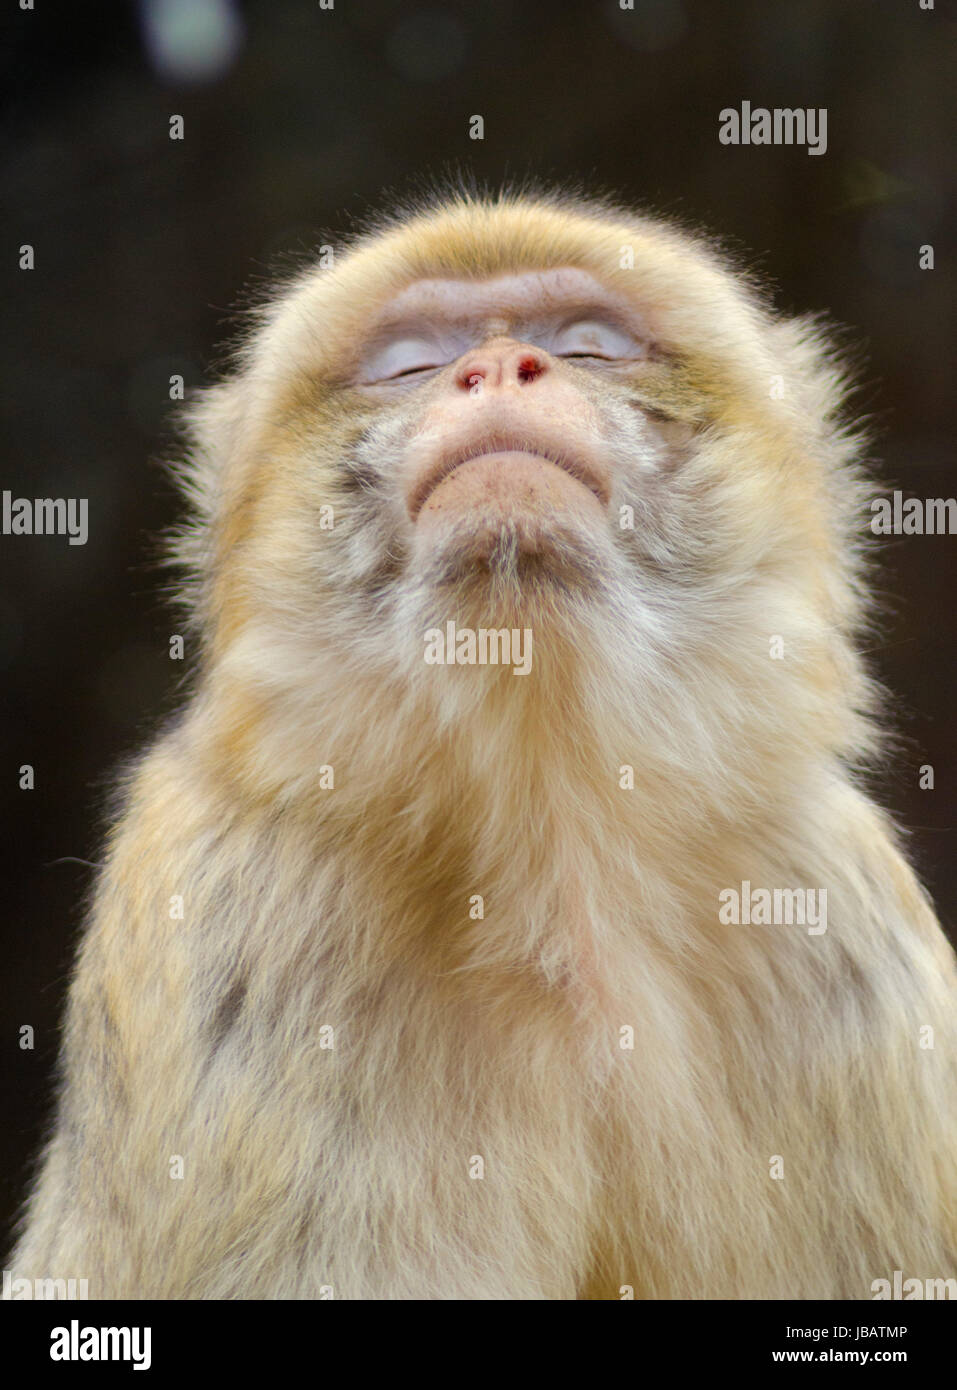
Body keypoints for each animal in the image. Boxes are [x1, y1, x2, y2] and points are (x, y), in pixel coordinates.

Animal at [6, 189, 956, 1301]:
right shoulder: (233, 916)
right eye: (410, 364)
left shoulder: (835, 922)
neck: (554, 846)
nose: (500, 369)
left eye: (589, 345)